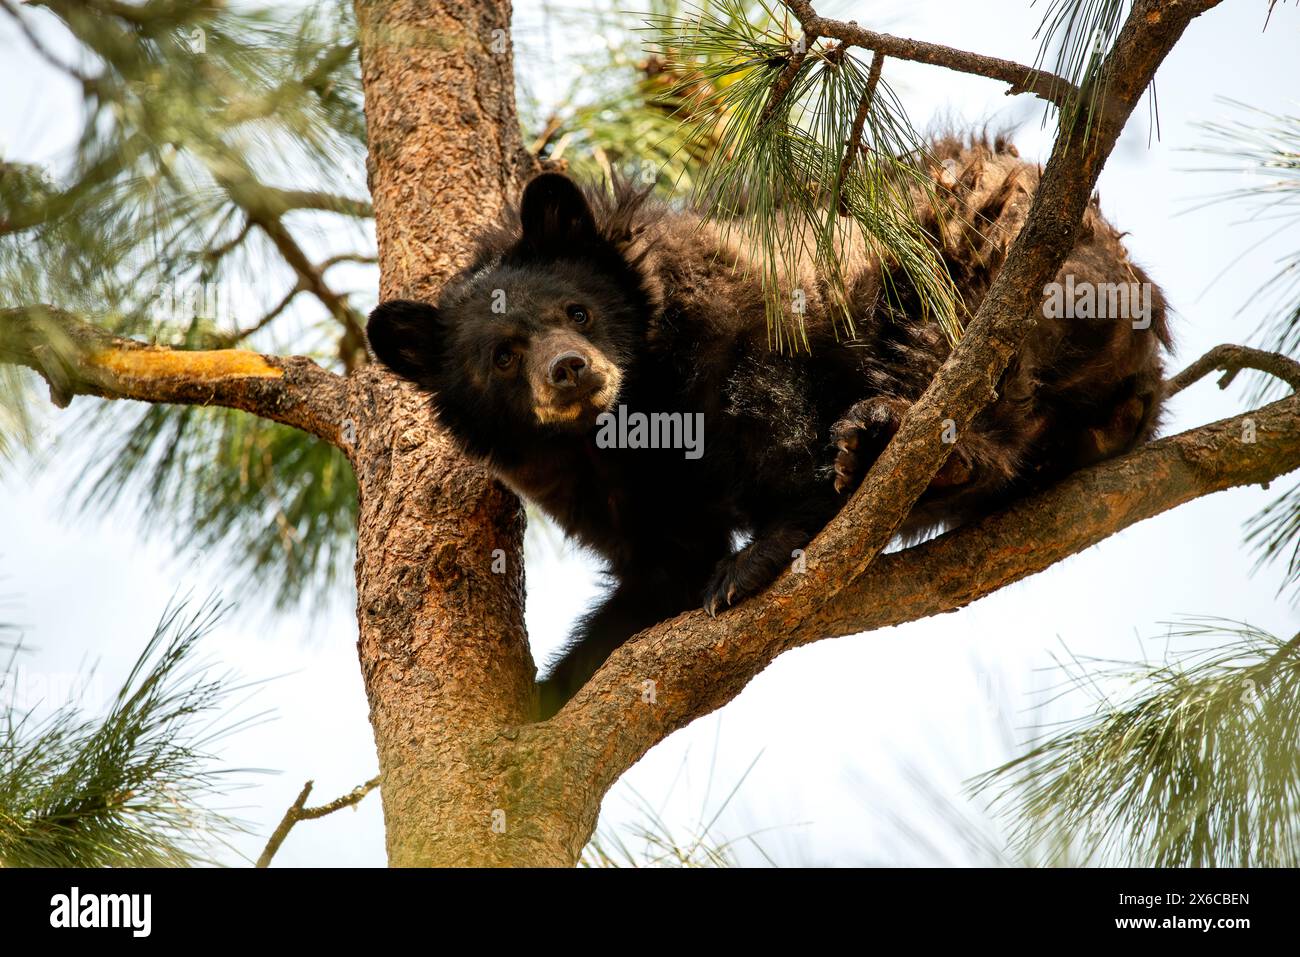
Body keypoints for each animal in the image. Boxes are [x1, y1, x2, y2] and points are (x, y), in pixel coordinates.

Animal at [366, 136, 1172, 719]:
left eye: (578, 310)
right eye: (501, 356)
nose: (569, 370)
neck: (623, 426)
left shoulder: (736, 310)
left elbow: (770, 410)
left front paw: (760, 555)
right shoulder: (592, 487)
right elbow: (662, 568)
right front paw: (554, 687)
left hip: (1003, 257)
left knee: (967, 351)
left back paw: (896, 438)